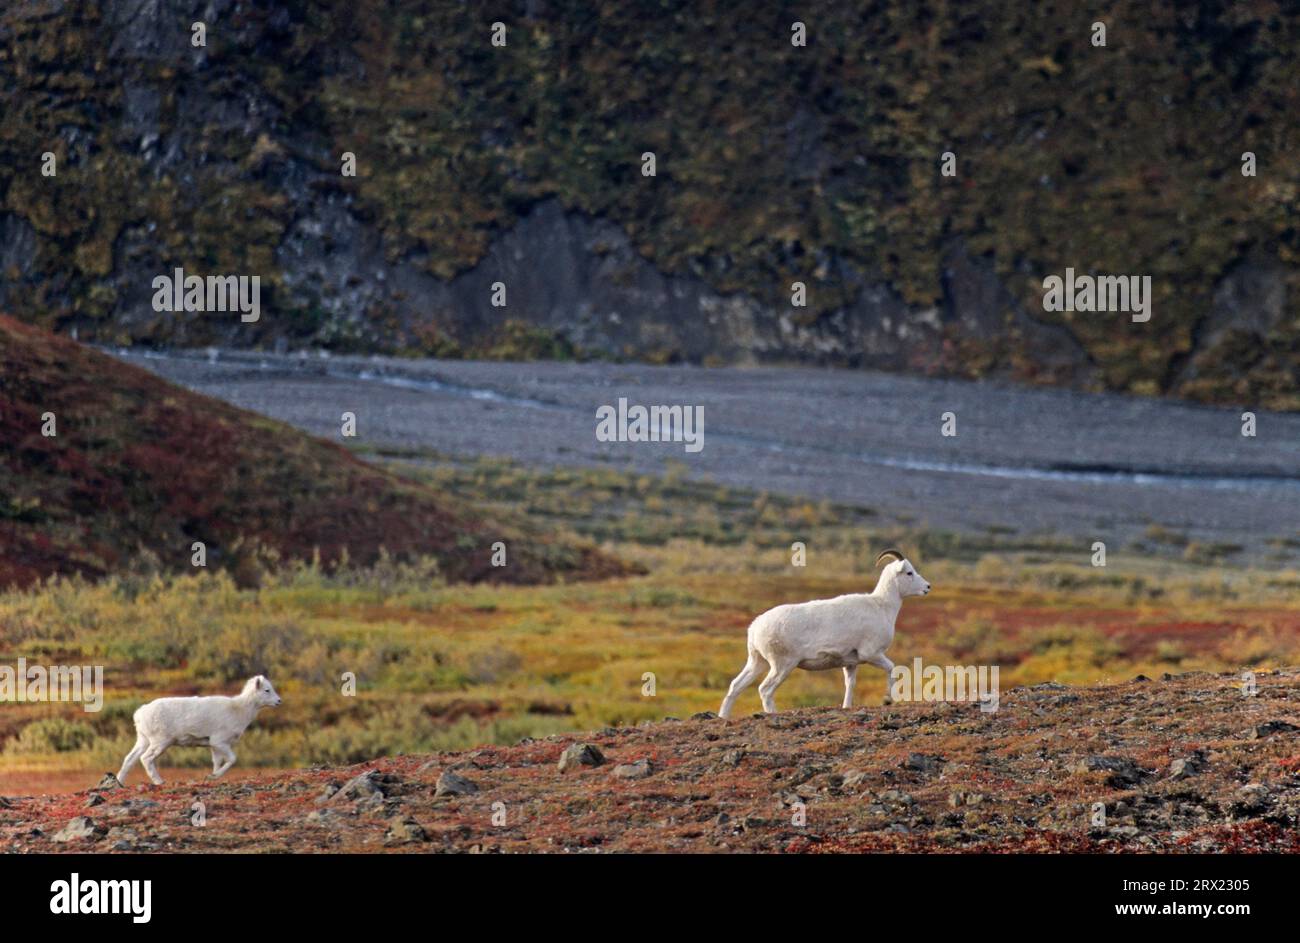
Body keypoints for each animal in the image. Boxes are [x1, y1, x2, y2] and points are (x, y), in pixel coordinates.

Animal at [115, 675, 282, 786]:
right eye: (267, 690)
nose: (279, 701)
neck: (239, 710)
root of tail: (140, 713)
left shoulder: (214, 746)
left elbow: (217, 762)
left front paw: (212, 777)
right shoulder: (220, 742)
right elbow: (232, 759)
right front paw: (213, 776)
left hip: (143, 740)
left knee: (129, 759)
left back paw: (120, 783)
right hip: (160, 742)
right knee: (146, 759)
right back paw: (160, 782)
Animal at [719, 550, 931, 719]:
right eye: (909, 572)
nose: (928, 587)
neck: (882, 606)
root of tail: (755, 627)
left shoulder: (851, 663)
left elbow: (850, 684)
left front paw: (847, 706)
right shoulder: (871, 654)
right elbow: (892, 668)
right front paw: (888, 699)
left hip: (758, 662)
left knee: (735, 686)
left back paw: (723, 717)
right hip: (782, 665)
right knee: (765, 690)